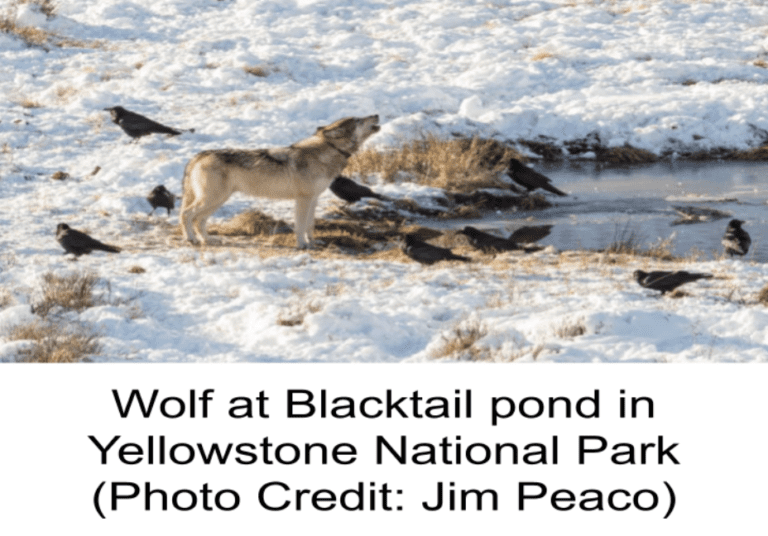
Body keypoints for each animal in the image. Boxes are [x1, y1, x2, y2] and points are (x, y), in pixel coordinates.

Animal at [179, 115, 380, 248]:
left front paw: (313, 243)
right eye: (358, 120)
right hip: (212, 199)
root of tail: (198, 156)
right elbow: (300, 226)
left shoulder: (313, 199)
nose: (376, 114)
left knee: (199, 220)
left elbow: (310, 226)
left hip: (217, 201)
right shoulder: (303, 199)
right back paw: (191, 239)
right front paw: (302, 245)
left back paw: (208, 240)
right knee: (186, 214)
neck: (327, 153)